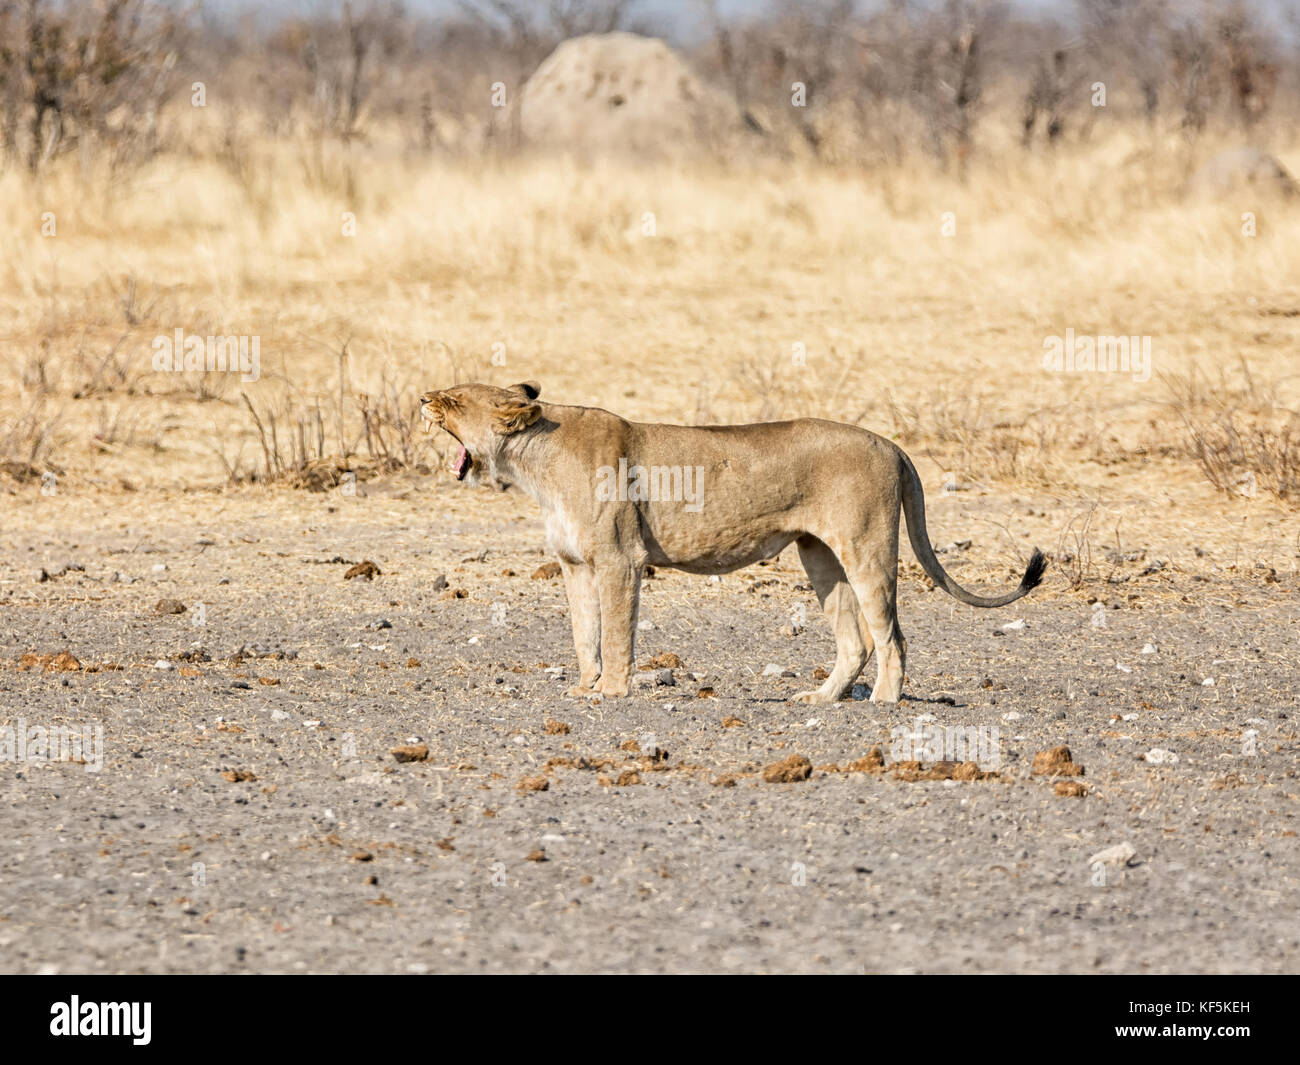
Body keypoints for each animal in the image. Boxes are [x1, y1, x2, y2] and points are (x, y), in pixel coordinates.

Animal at [420, 381, 1046, 703]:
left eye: (454, 398)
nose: (424, 397)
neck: (535, 464)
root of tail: (891, 444)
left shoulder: (621, 559)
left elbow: (617, 634)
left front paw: (612, 691)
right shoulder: (575, 565)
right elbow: (584, 634)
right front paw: (583, 686)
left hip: (866, 547)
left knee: (892, 634)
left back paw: (885, 700)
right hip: (819, 555)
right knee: (857, 640)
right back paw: (820, 698)